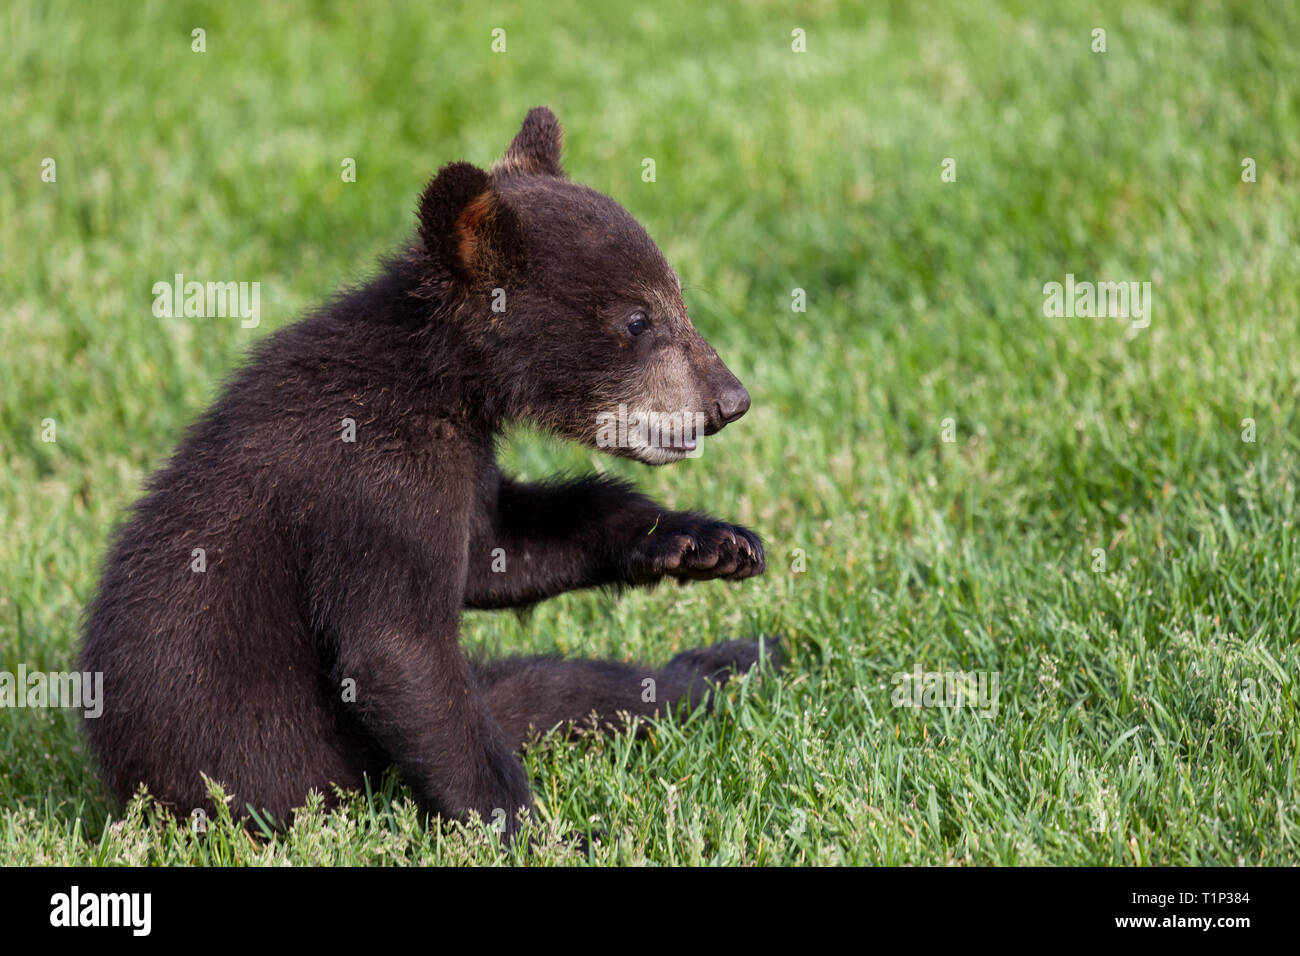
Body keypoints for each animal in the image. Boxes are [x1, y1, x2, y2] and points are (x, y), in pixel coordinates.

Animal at [80, 107, 769, 838]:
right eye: (638, 320)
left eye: (680, 298)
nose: (730, 401)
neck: (438, 382)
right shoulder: (373, 481)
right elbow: (398, 653)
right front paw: (536, 831)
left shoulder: (459, 462)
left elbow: (494, 549)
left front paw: (701, 539)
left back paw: (728, 662)